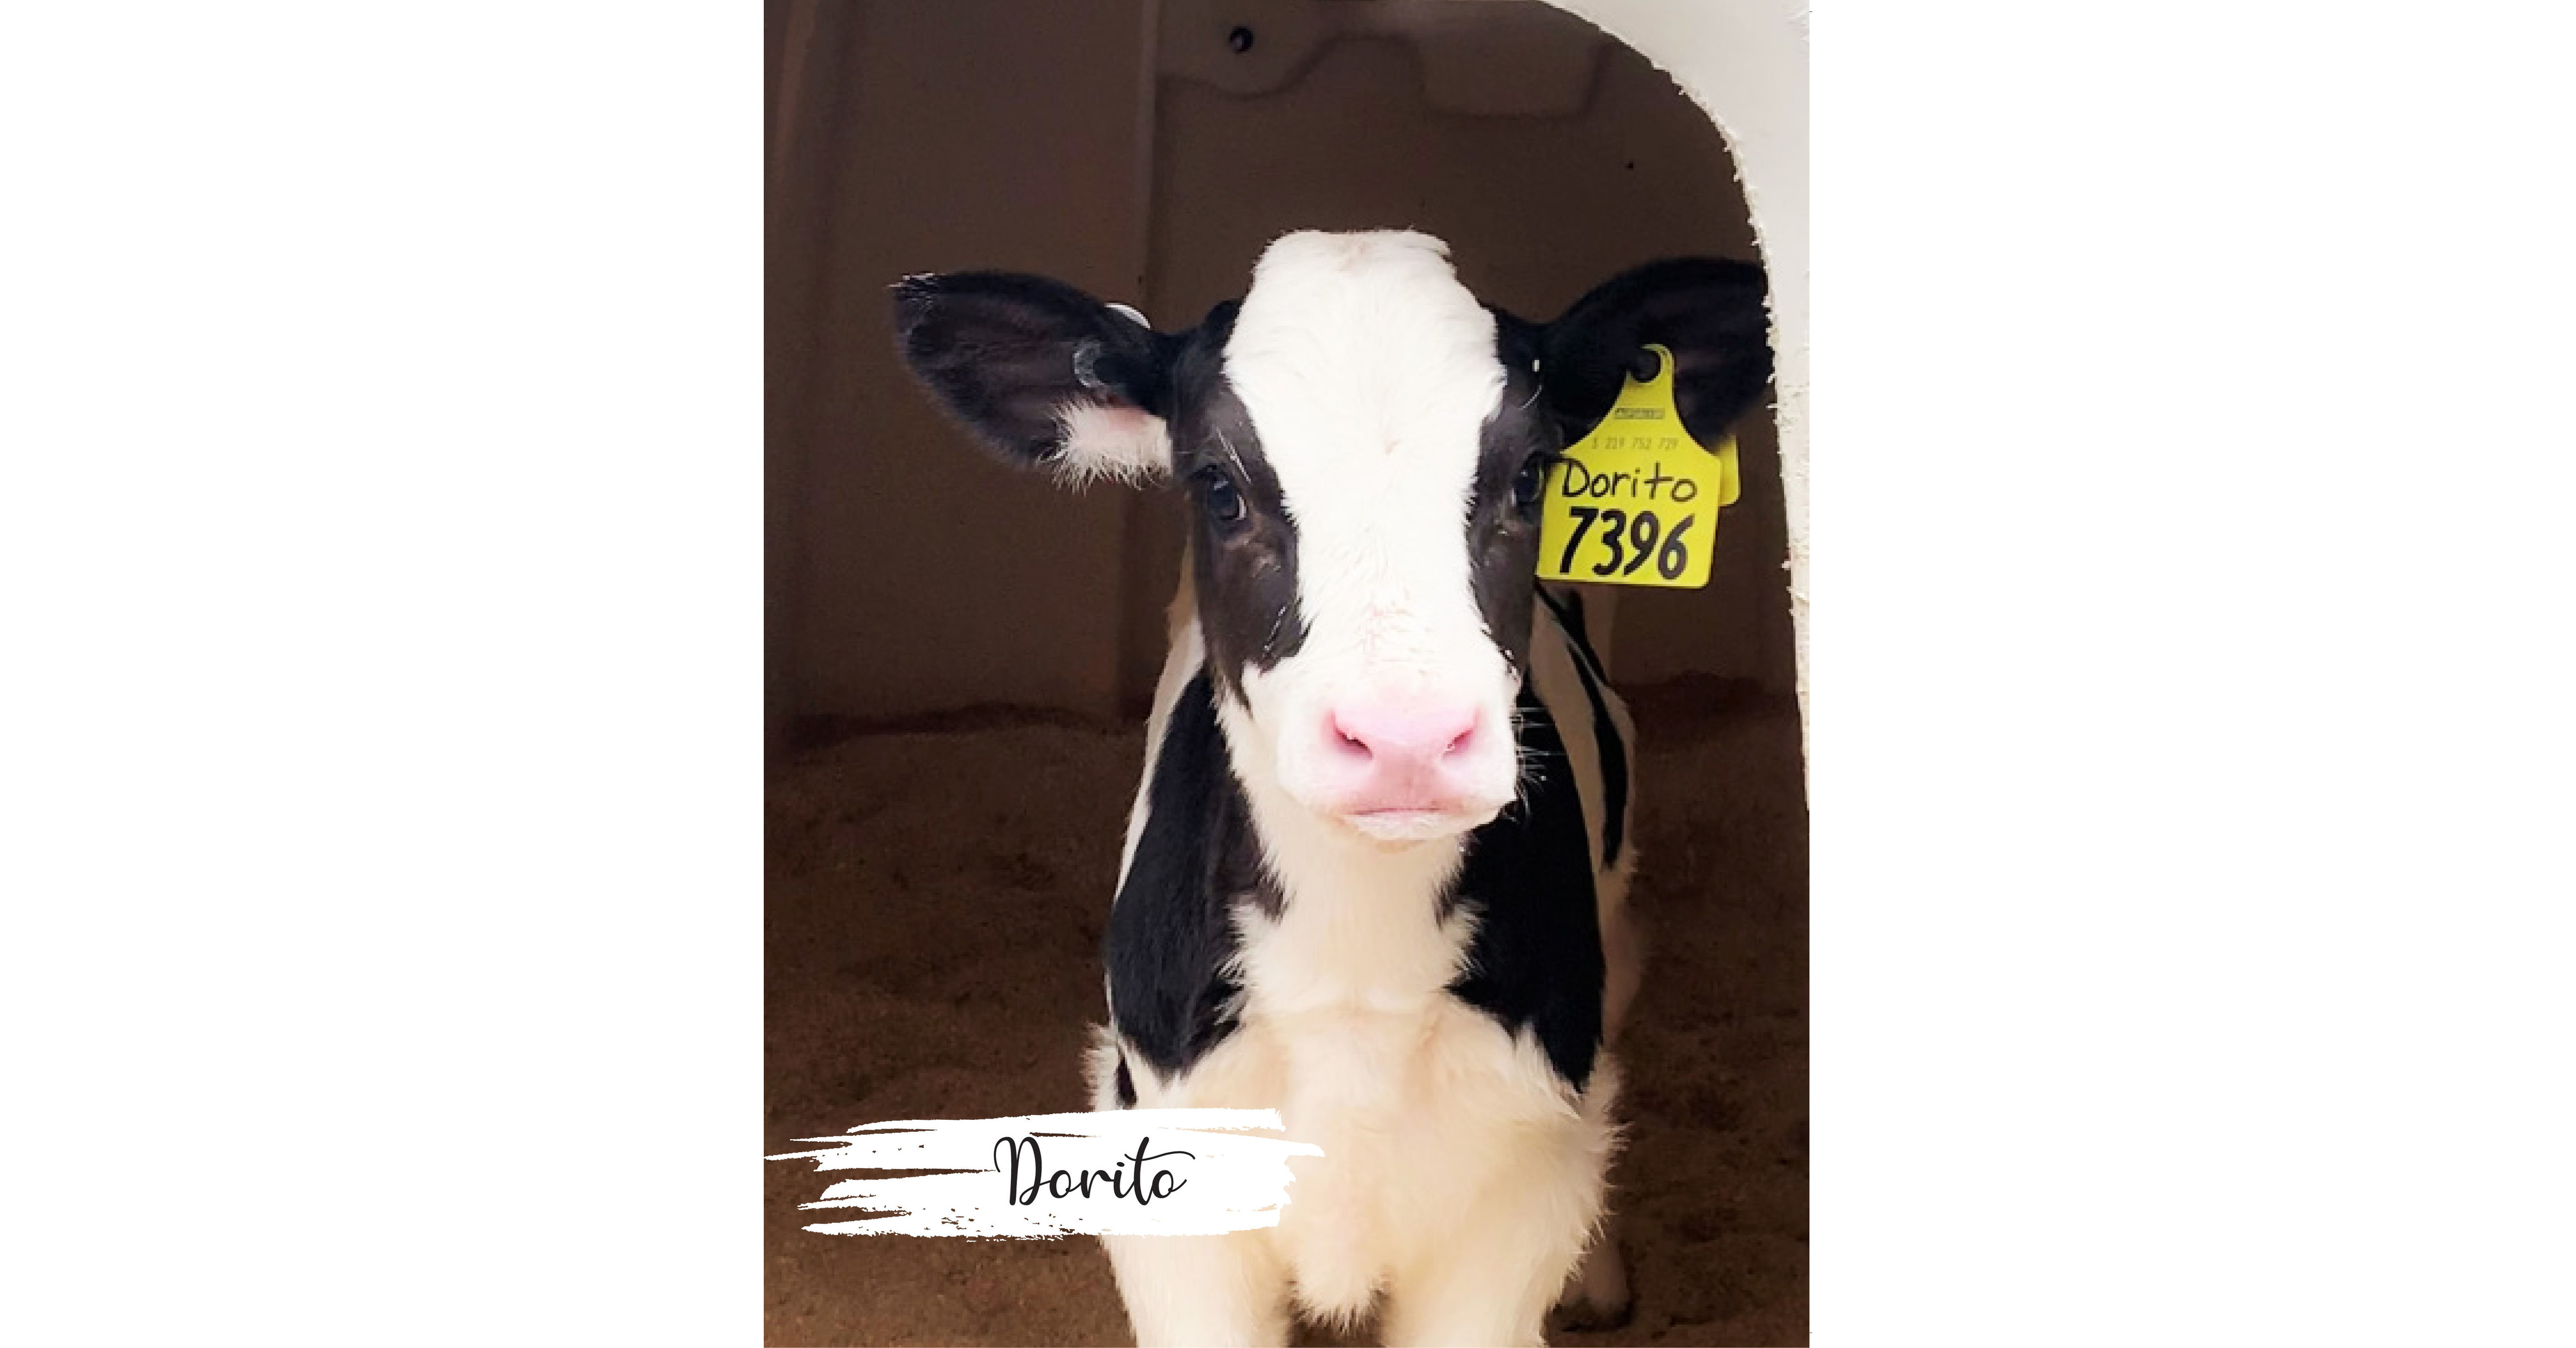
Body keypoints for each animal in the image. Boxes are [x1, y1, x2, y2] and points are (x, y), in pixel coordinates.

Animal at [891, 230, 1771, 1347]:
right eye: (1217, 486)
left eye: (1531, 475)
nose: (1405, 737)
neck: (1357, 967)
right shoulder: (1172, 1178)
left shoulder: (1506, 1204)